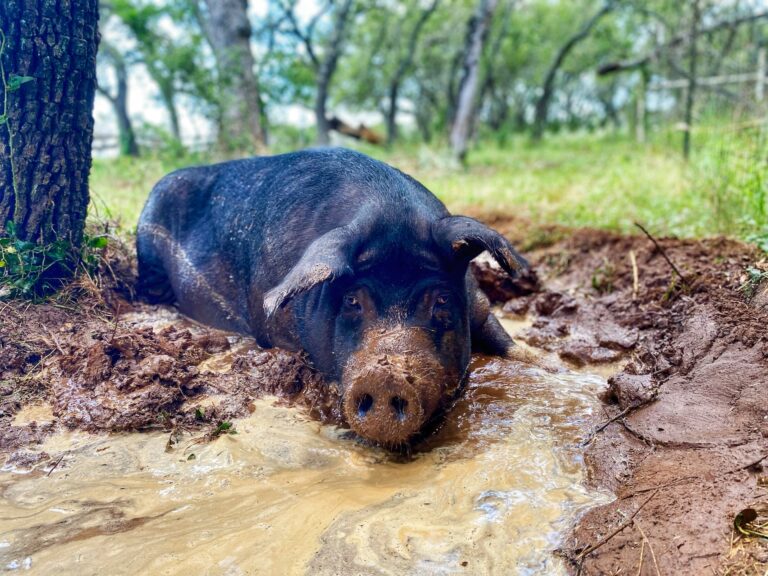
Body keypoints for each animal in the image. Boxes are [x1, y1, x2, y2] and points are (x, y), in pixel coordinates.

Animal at [136, 148, 530, 446]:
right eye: (353, 300)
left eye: (442, 301)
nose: (384, 377)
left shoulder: (479, 306)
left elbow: (509, 345)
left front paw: (538, 361)